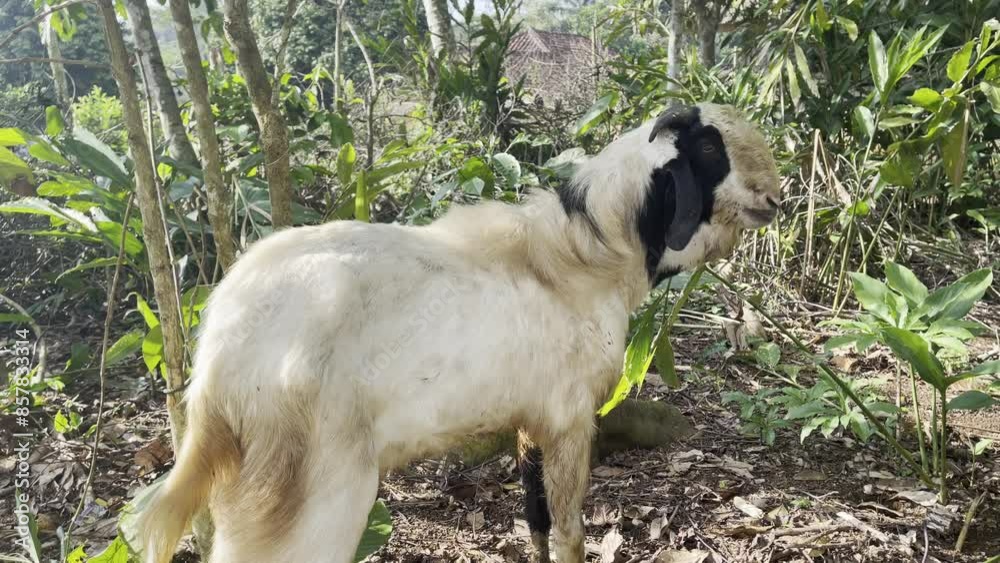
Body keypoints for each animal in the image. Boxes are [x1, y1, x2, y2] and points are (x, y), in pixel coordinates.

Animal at [138, 102, 781, 563]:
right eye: (708, 147)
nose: (775, 197)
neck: (588, 252)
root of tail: (218, 362)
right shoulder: (570, 416)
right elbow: (570, 533)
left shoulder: (531, 420)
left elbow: (536, 521)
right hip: (307, 494)